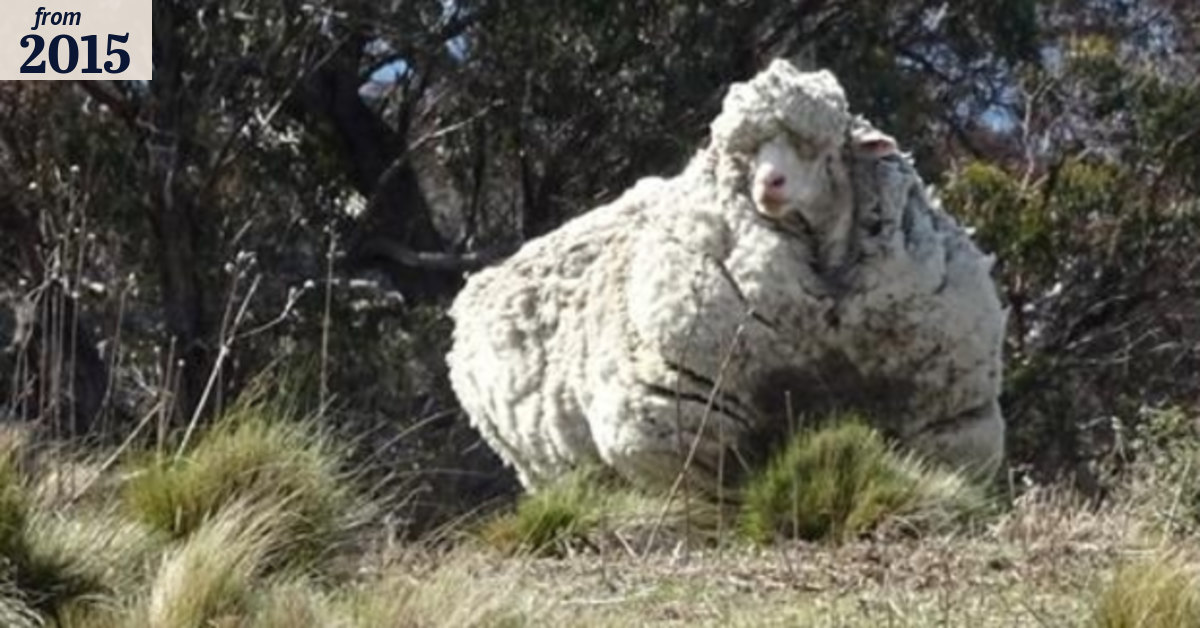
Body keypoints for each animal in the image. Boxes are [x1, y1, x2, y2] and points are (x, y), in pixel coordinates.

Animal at [446, 59, 1007, 493]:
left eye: (818, 147)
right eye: (746, 153)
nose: (769, 184)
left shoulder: (949, 422)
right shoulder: (680, 425)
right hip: (547, 466)